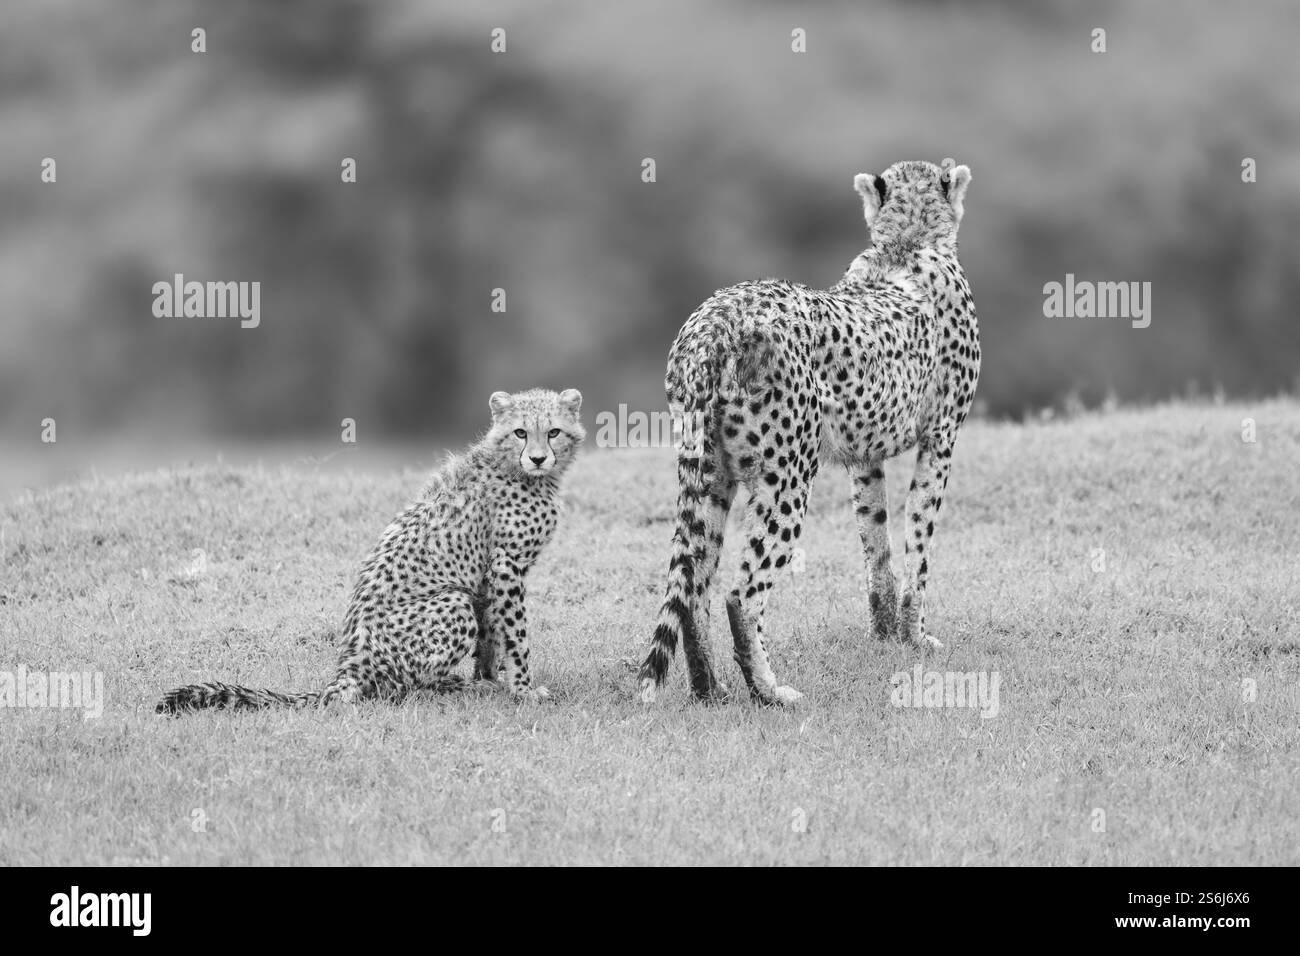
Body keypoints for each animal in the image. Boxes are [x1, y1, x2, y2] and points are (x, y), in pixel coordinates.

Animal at [156, 387, 584, 714]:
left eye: (554, 432)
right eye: (520, 432)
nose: (538, 458)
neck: (517, 469)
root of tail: (347, 665)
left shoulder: (489, 579)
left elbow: (492, 636)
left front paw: (494, 677)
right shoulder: (506, 565)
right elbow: (515, 634)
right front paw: (523, 689)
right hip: (452, 601)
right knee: (408, 685)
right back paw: (462, 688)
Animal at [638, 159, 980, 706]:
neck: (905, 242)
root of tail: (717, 318)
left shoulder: (865, 457)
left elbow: (877, 545)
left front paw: (884, 634)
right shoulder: (941, 438)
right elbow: (918, 546)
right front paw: (916, 636)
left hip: (710, 476)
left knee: (693, 587)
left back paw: (710, 689)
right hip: (788, 476)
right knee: (741, 593)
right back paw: (768, 690)